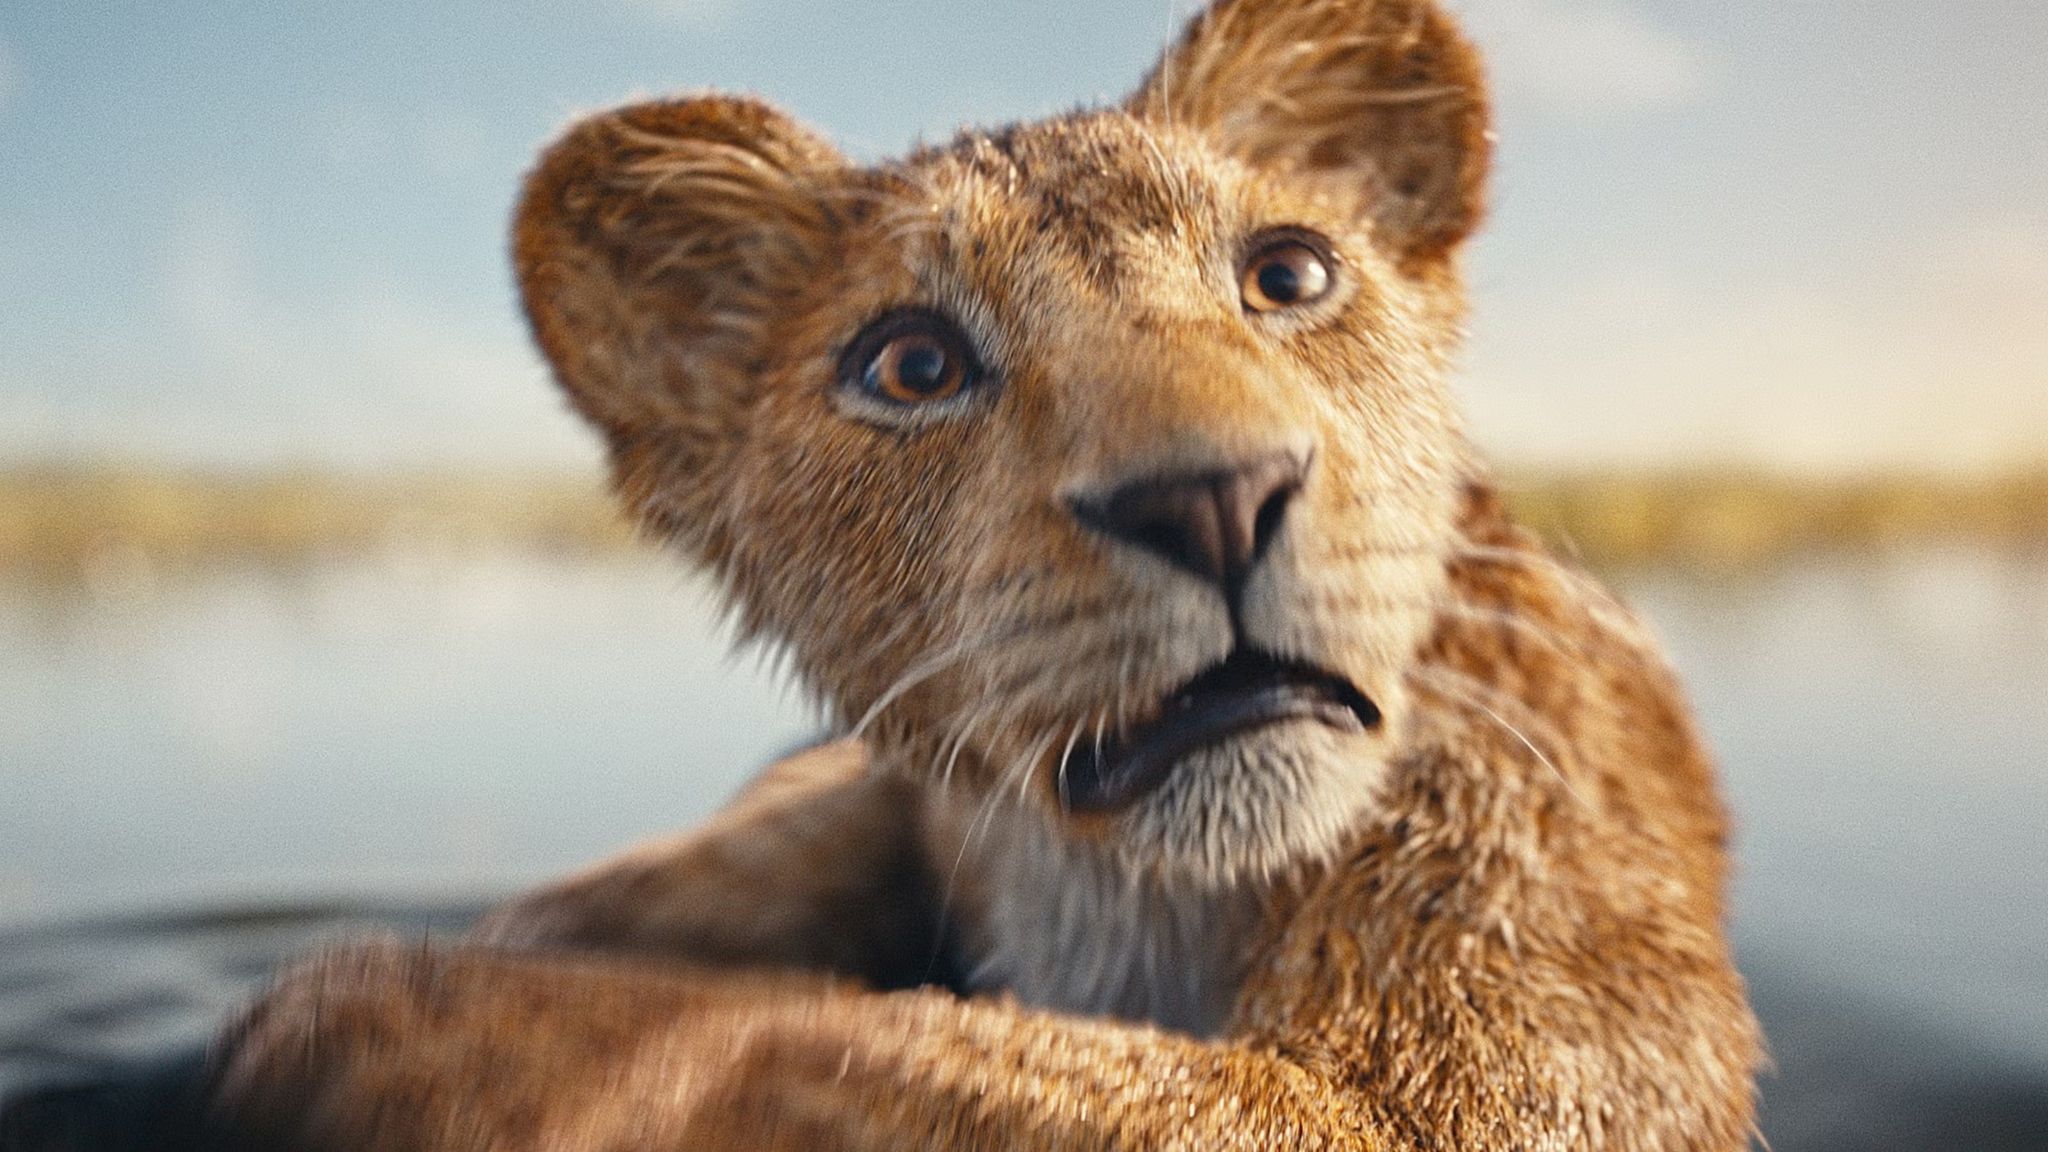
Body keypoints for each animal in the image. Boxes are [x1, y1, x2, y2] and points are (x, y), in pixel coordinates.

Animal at [195, 0, 1763, 1146]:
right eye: (913, 365)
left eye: (1290, 274)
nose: (1212, 499)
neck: (1132, 899)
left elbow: (796, 1033)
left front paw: (396, 1018)